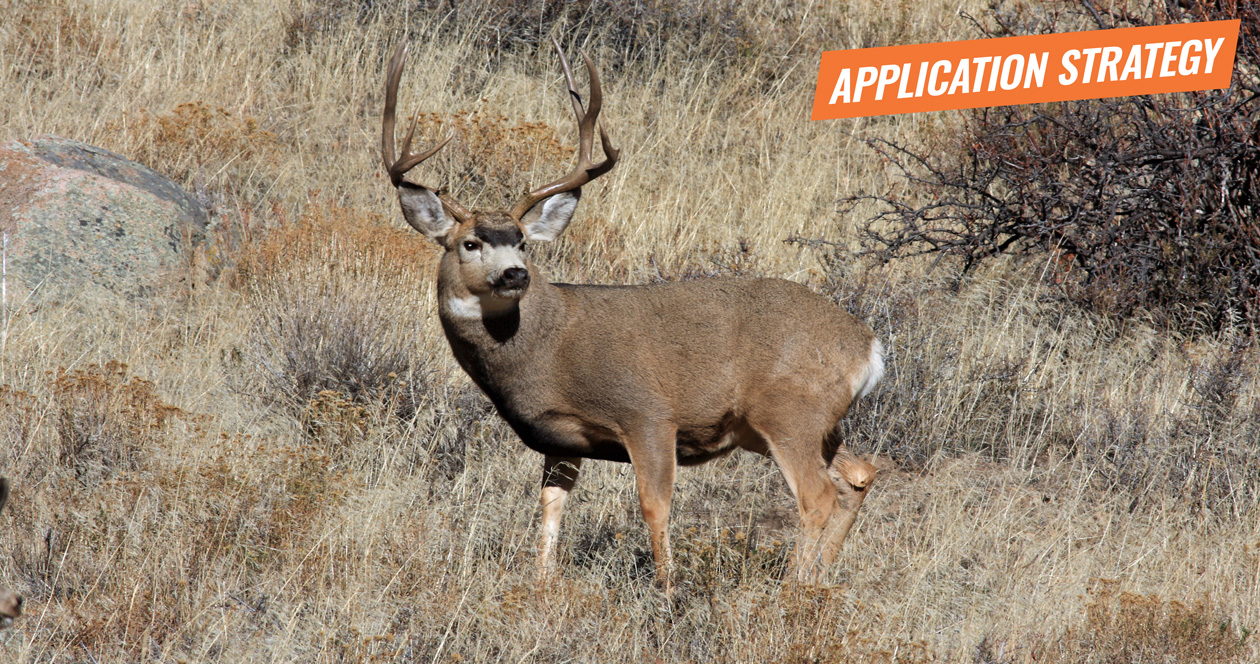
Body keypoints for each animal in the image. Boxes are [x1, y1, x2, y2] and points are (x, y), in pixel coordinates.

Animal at [379, 38, 884, 587]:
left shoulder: (647, 412)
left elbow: (654, 506)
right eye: (470, 243)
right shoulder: (561, 438)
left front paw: (665, 590)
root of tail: (869, 346)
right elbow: (550, 509)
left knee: (817, 495)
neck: (545, 350)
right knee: (858, 475)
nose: (516, 274)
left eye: (521, 241)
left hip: (789, 409)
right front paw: (542, 583)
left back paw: (793, 585)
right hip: (806, 424)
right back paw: (820, 577)